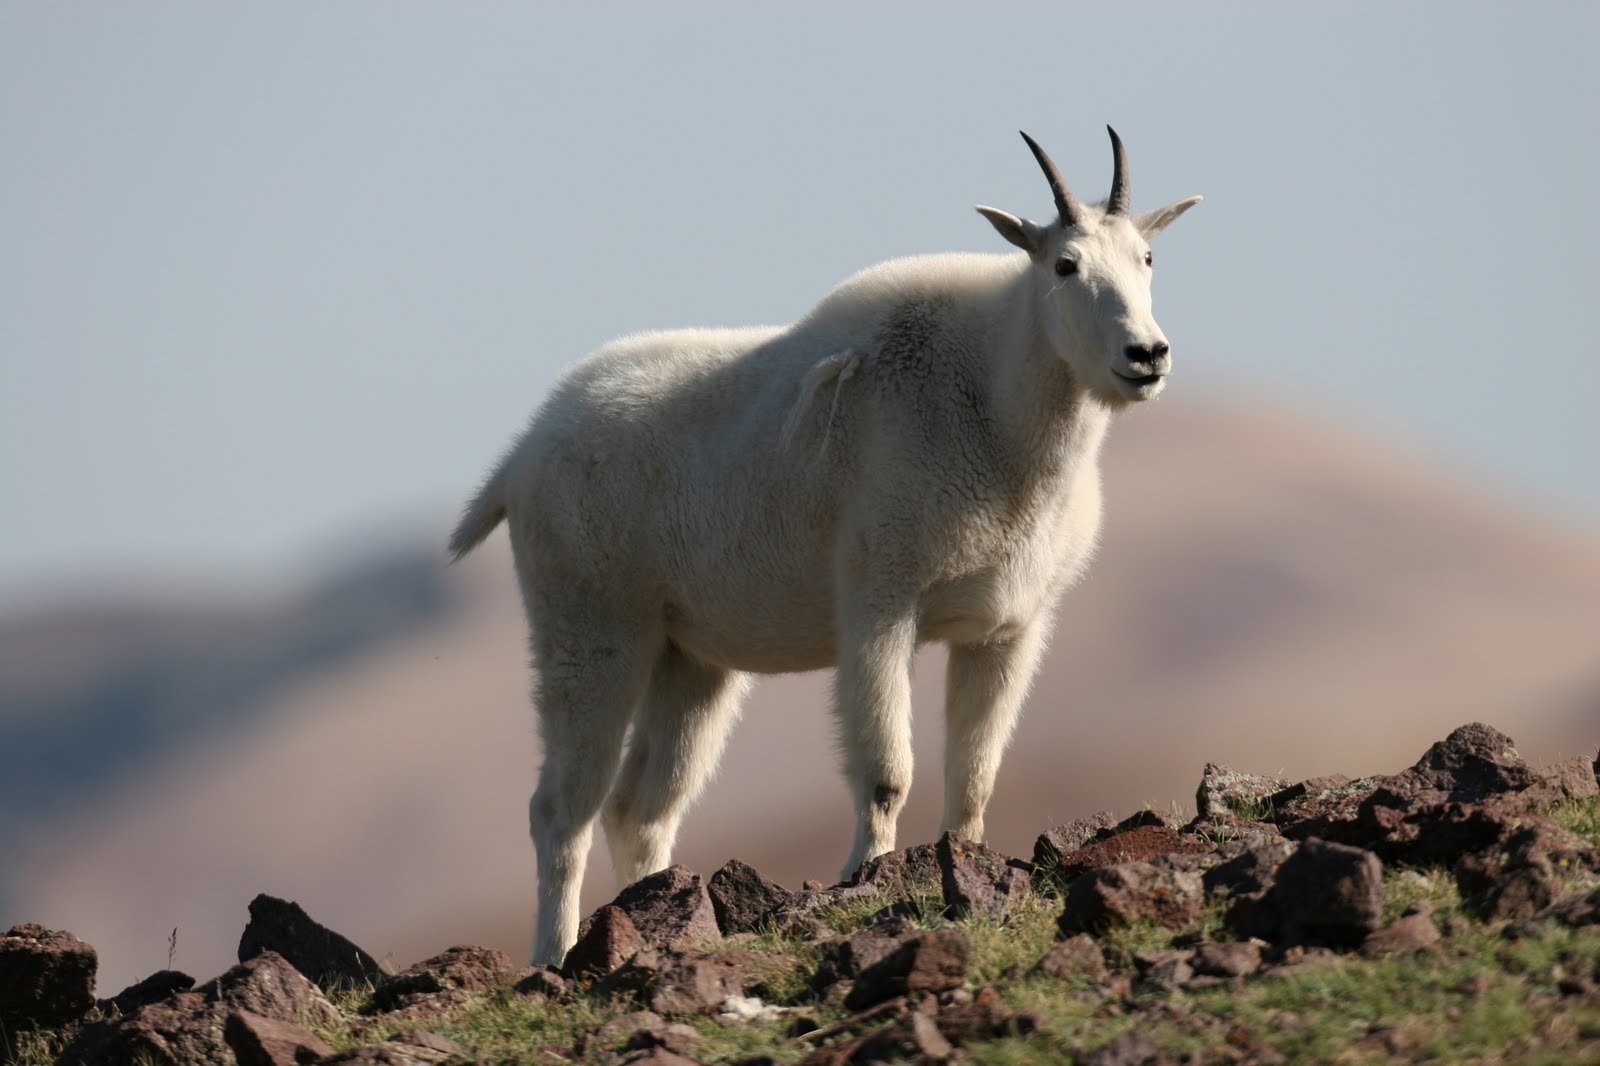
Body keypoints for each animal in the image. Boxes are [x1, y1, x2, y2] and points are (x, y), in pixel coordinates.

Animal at [450, 128, 1202, 965]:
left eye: (1146, 257)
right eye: (1066, 265)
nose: (1146, 355)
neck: (999, 409)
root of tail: (520, 458)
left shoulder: (1008, 627)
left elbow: (974, 775)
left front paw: (965, 870)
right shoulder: (880, 601)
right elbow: (887, 770)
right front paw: (864, 878)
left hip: (689, 658)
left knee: (640, 806)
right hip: (591, 627)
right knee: (561, 807)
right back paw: (553, 956)